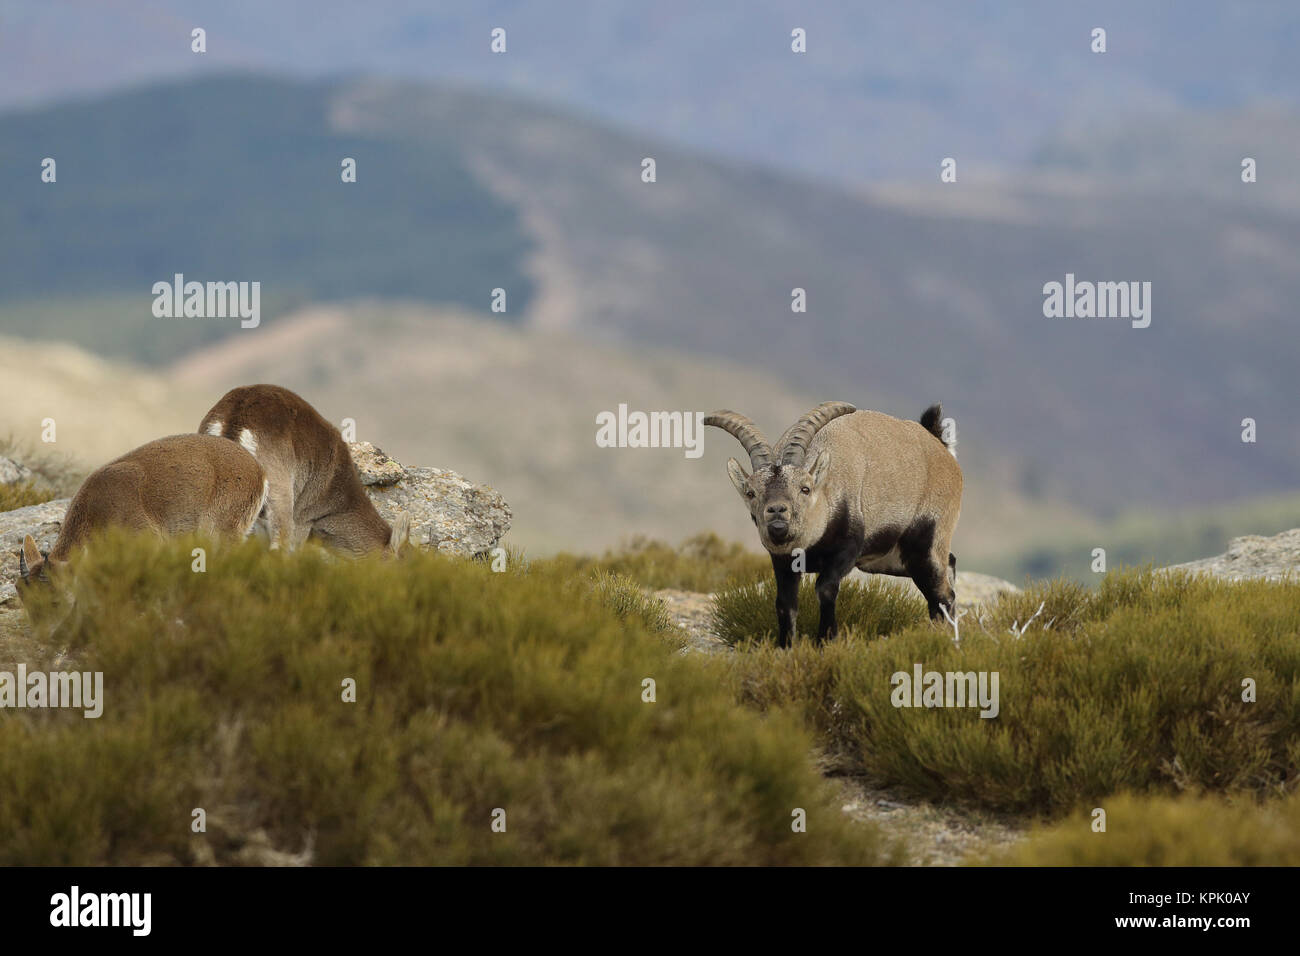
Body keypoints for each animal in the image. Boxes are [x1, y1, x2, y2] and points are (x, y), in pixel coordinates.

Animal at [705, 401, 962, 645]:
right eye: (751, 492)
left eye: (805, 488)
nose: (777, 512)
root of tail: (940, 446)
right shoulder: (782, 560)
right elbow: (785, 603)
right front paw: (785, 646)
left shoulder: (846, 551)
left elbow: (825, 589)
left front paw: (827, 640)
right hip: (893, 560)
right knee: (948, 570)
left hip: (927, 543)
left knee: (943, 595)